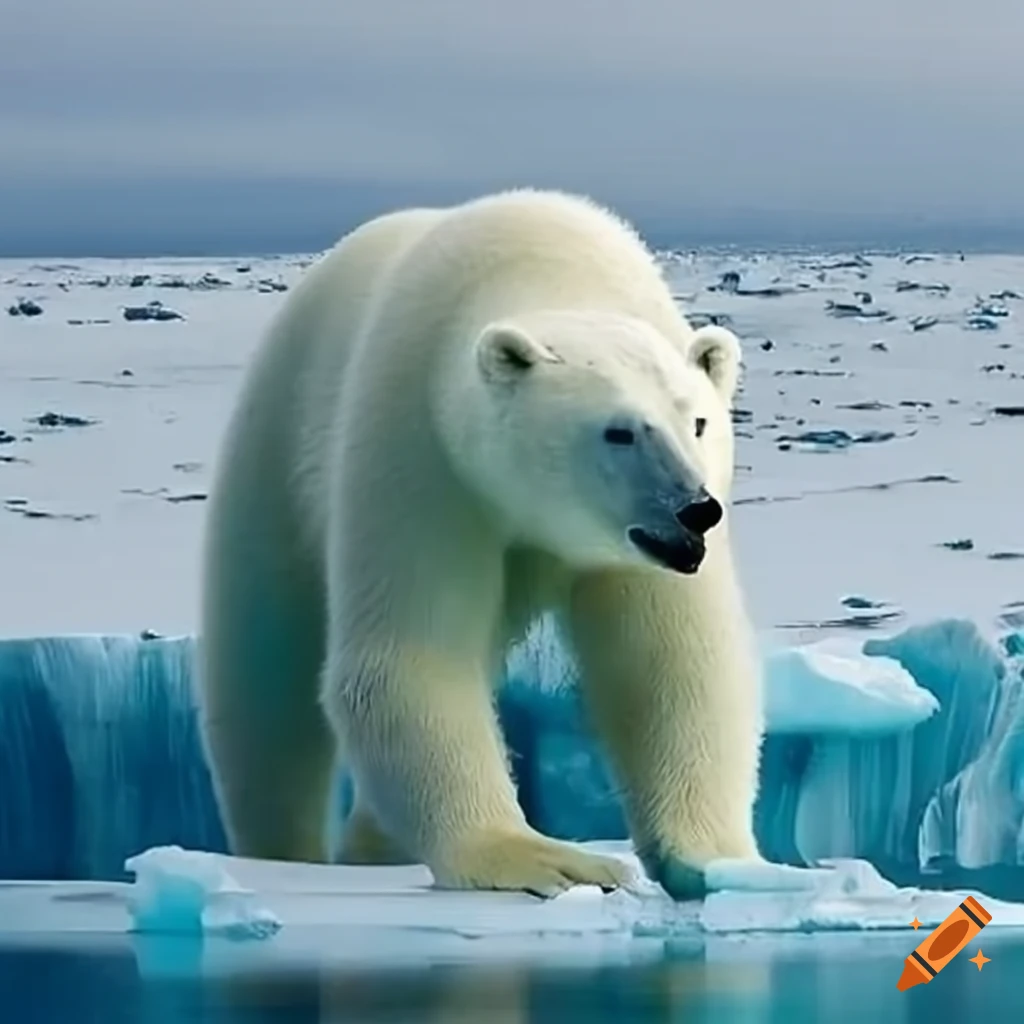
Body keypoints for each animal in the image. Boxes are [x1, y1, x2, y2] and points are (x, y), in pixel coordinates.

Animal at [196, 188, 764, 901]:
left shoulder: (641, 547)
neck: (547, 263)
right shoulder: (419, 442)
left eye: (699, 421)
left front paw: (719, 862)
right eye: (619, 431)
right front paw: (545, 859)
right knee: (264, 677)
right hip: (276, 445)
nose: (697, 509)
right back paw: (283, 854)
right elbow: (409, 660)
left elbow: (672, 663)